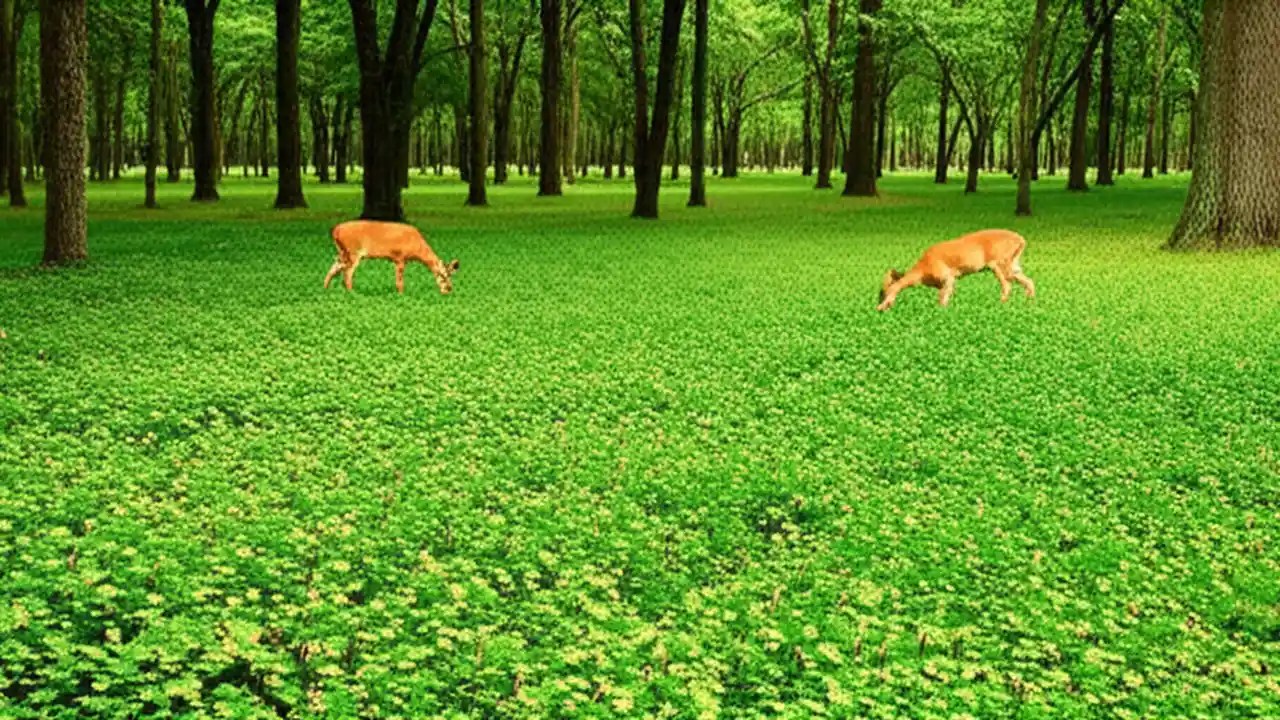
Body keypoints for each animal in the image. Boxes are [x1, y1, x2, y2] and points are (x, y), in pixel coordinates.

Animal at [323, 221, 459, 295]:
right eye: (443, 276)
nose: (448, 289)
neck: (417, 248)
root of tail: (336, 231)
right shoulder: (400, 257)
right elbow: (399, 280)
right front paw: (401, 294)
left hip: (342, 253)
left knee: (333, 269)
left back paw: (326, 289)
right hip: (353, 252)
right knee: (347, 273)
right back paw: (352, 292)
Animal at [877, 229, 1035, 311]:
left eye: (886, 292)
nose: (879, 308)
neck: (922, 272)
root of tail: (1021, 240)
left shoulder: (946, 275)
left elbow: (942, 298)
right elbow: (946, 296)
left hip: (998, 262)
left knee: (1007, 285)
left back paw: (1000, 305)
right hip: (1012, 264)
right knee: (1028, 281)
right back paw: (1029, 301)